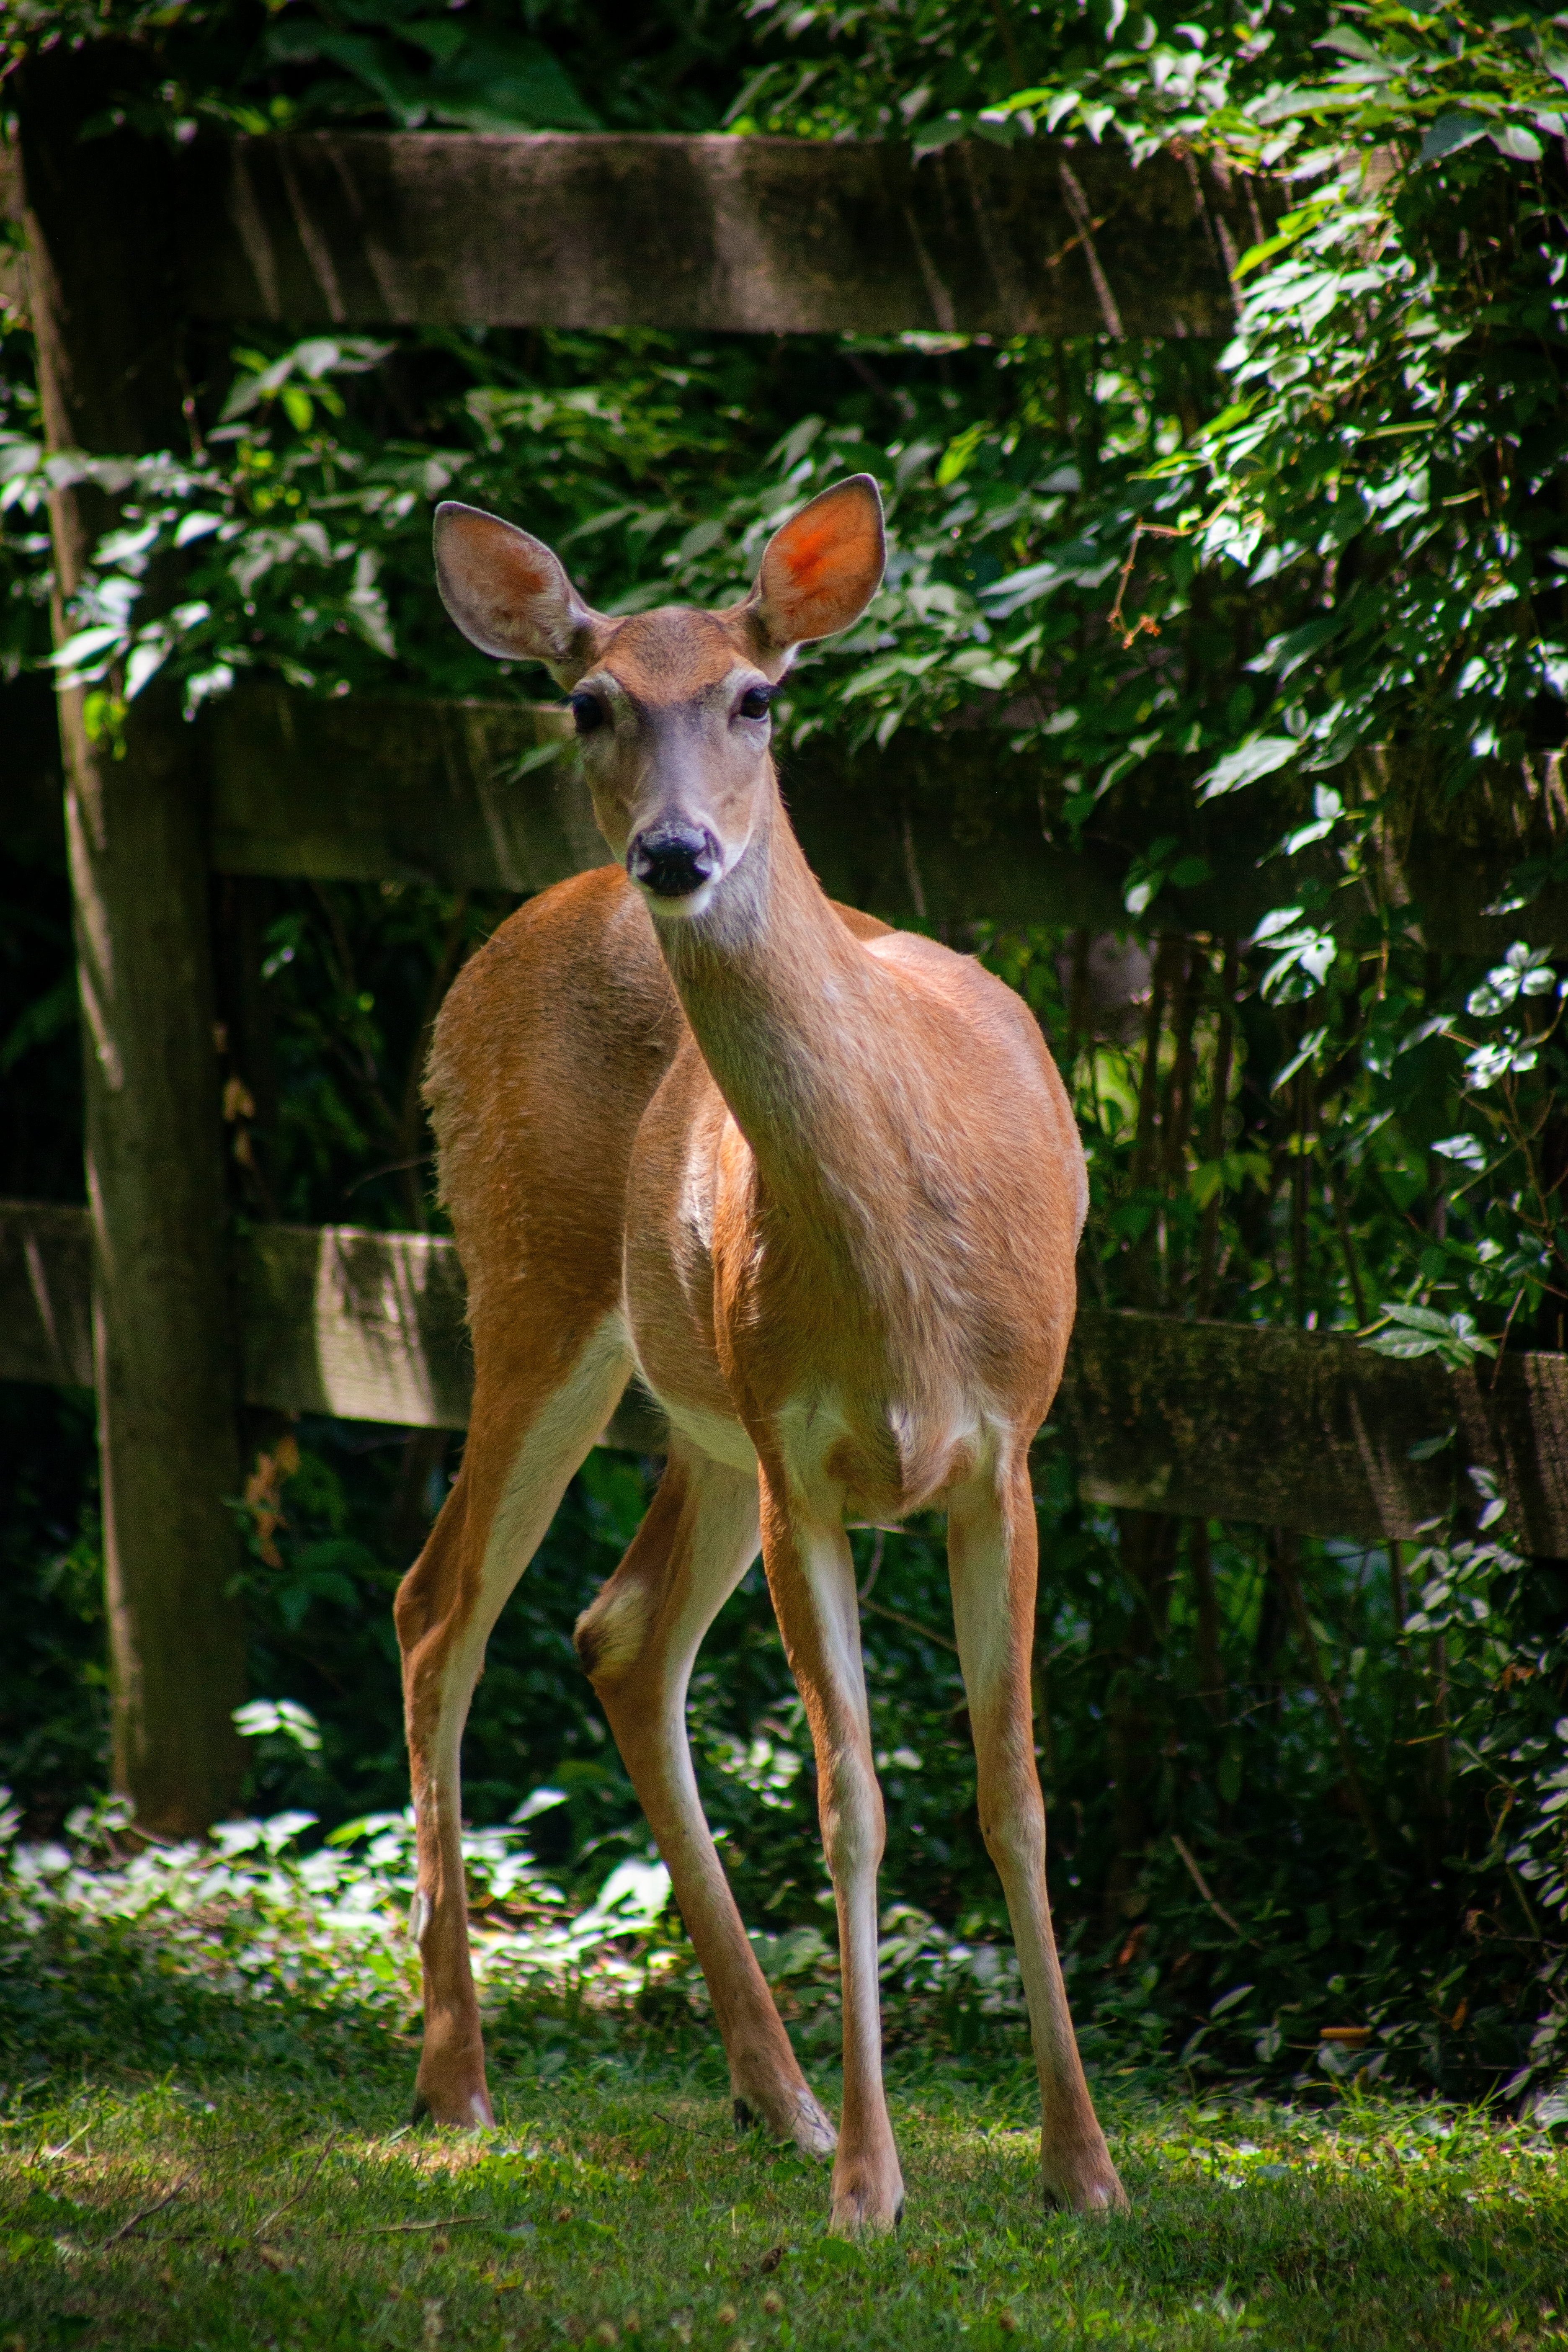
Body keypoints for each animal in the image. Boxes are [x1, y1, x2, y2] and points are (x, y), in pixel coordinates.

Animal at [393, 473, 1126, 2233]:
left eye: (756, 696)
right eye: (589, 700)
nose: (675, 851)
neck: (902, 1255)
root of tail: (505, 938)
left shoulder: (1004, 1447)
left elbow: (1014, 1786)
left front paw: (1080, 2164)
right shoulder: (809, 1466)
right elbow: (851, 1793)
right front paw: (874, 2179)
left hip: (699, 1408)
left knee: (617, 1628)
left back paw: (769, 2090)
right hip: (530, 1292)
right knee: (441, 1609)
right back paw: (459, 2077)